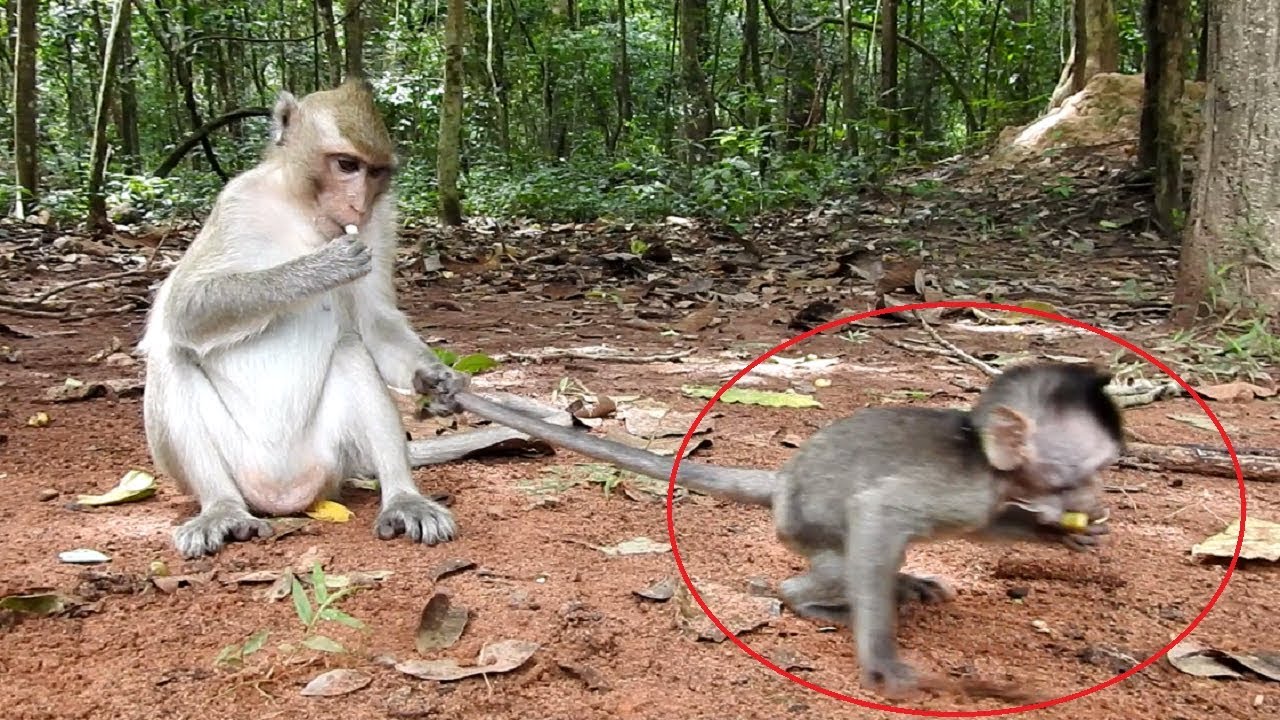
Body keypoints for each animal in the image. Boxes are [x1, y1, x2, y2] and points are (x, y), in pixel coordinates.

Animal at [138, 78, 470, 559]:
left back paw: (403, 498)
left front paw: (435, 380)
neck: (304, 211)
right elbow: (183, 308)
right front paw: (319, 268)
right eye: (347, 165)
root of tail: (284, 493)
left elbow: (374, 323)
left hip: (331, 459)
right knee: (171, 355)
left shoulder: (382, 221)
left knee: (351, 349)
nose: (358, 206)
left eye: (375, 173)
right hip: (228, 466)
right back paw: (221, 509)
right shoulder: (237, 201)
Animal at [444, 362, 1123, 695]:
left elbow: (987, 528)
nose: (1092, 497)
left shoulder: (983, 501)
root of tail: (784, 481)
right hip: (805, 525)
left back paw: (903, 587)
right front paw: (881, 661)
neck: (988, 462)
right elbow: (879, 513)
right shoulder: (964, 490)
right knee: (833, 566)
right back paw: (817, 603)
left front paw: (1061, 536)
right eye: (1082, 472)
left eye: (1103, 470)